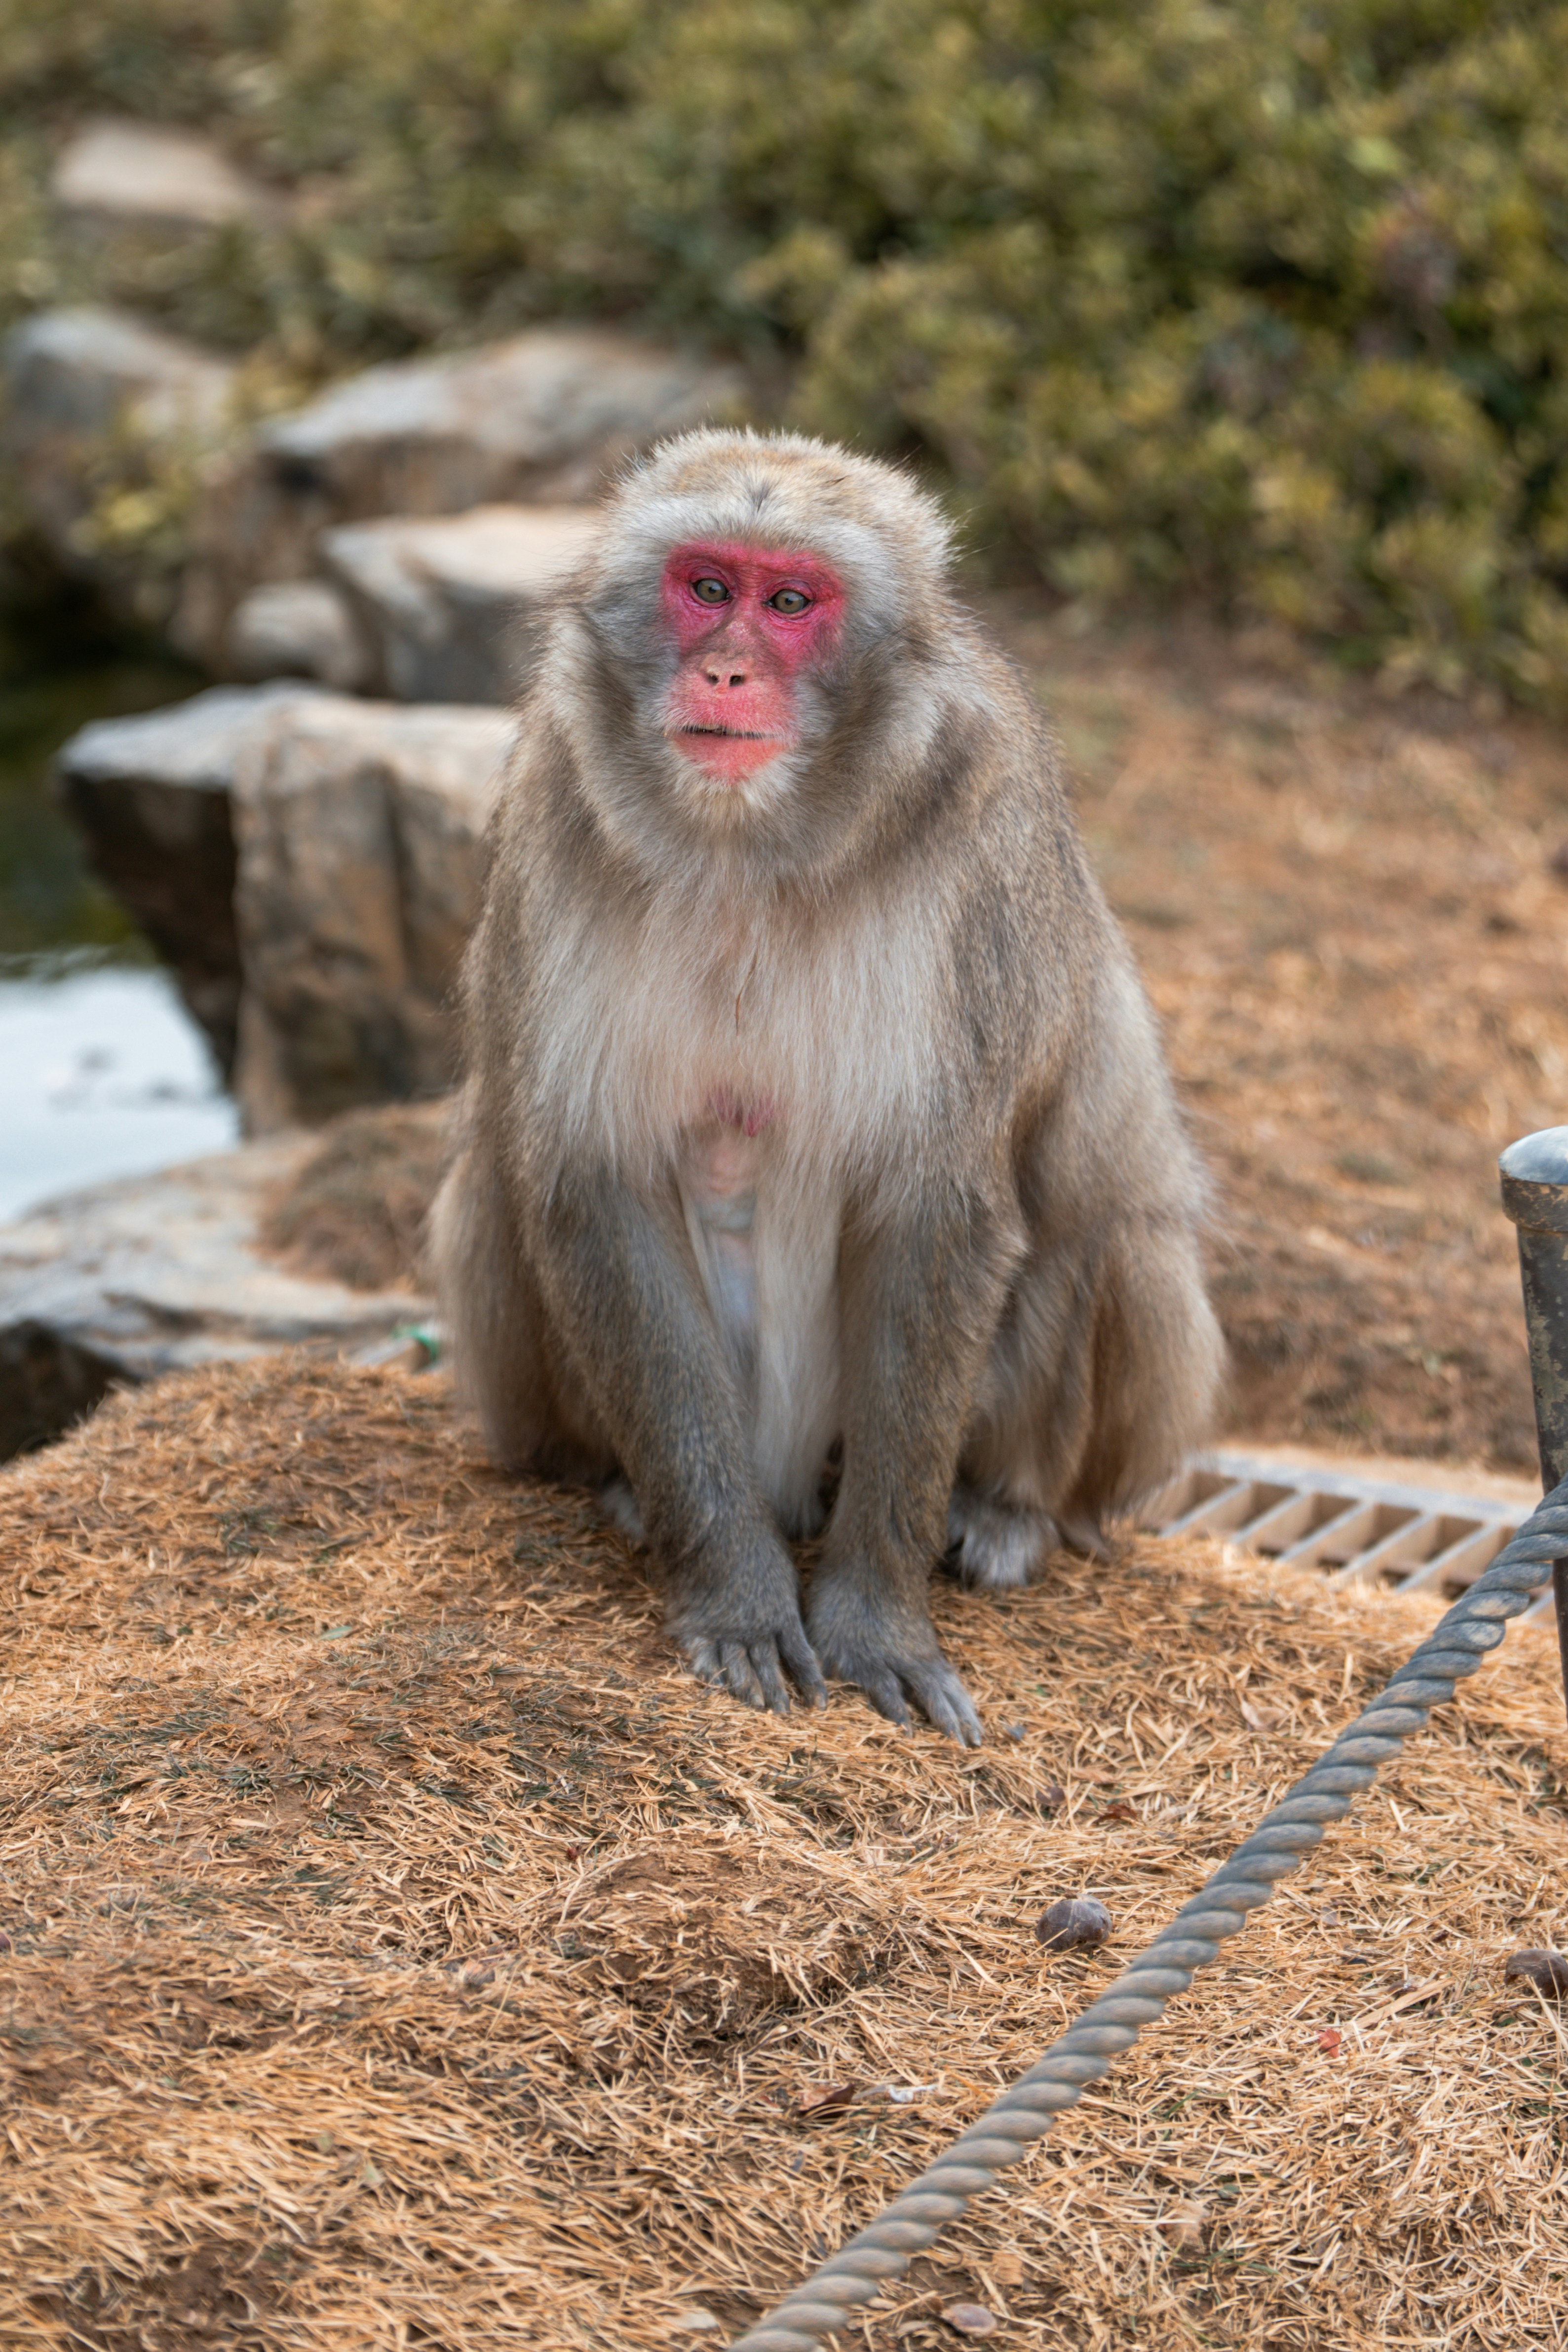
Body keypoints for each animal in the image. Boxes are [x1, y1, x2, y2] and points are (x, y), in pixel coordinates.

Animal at [430, 428, 1224, 1745]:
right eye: (707, 586)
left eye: (791, 604)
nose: (728, 670)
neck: (753, 839)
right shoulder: (556, 796)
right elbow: (595, 1181)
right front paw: (737, 1591)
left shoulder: (979, 828)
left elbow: (938, 1205)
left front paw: (873, 1617)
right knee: (497, 1190)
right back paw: (633, 1487)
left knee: (1100, 1224)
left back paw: (1005, 1508)